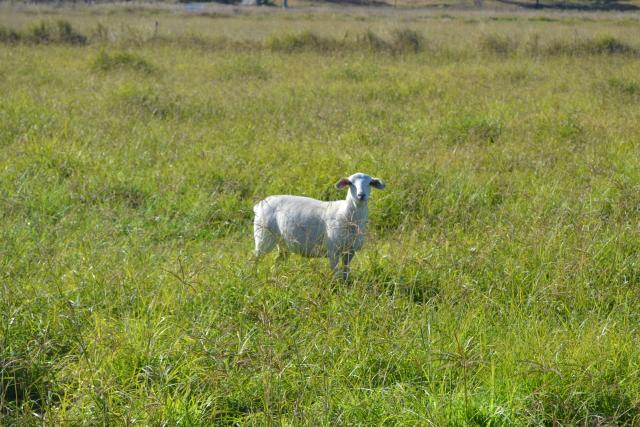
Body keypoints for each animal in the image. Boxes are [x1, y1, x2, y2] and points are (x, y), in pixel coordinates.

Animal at [253, 172, 385, 280]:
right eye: (350, 183)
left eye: (370, 183)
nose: (361, 195)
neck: (346, 213)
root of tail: (260, 204)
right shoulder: (333, 250)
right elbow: (336, 274)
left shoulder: (350, 251)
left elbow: (345, 272)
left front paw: (346, 286)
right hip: (263, 236)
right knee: (256, 258)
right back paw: (254, 275)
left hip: (283, 241)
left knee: (277, 260)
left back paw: (275, 277)